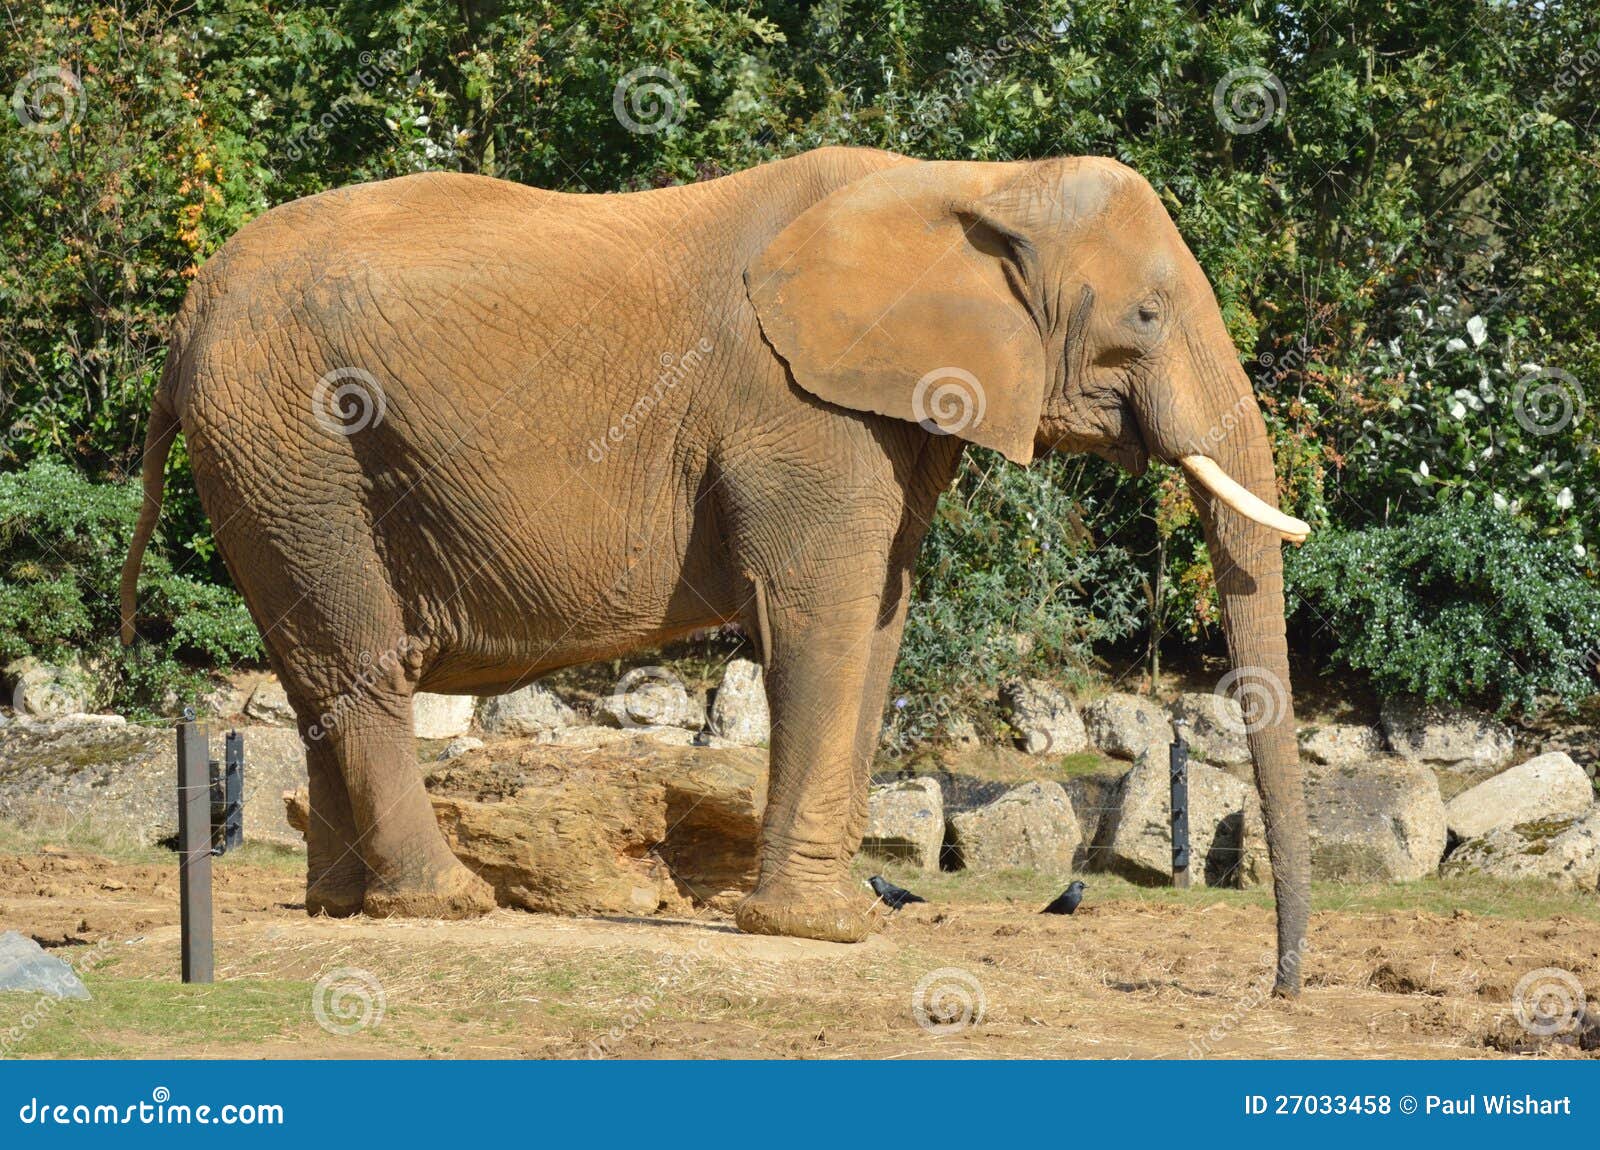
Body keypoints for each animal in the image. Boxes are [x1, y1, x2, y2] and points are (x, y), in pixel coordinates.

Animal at [120, 146, 1313, 994]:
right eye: (1147, 315)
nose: (1282, 987)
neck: (969, 182)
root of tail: (184, 317)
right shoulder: (799, 412)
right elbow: (821, 622)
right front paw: (819, 931)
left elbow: (881, 624)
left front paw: (847, 918)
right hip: (292, 441)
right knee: (362, 664)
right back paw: (445, 904)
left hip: (271, 461)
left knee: (318, 668)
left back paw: (344, 909)